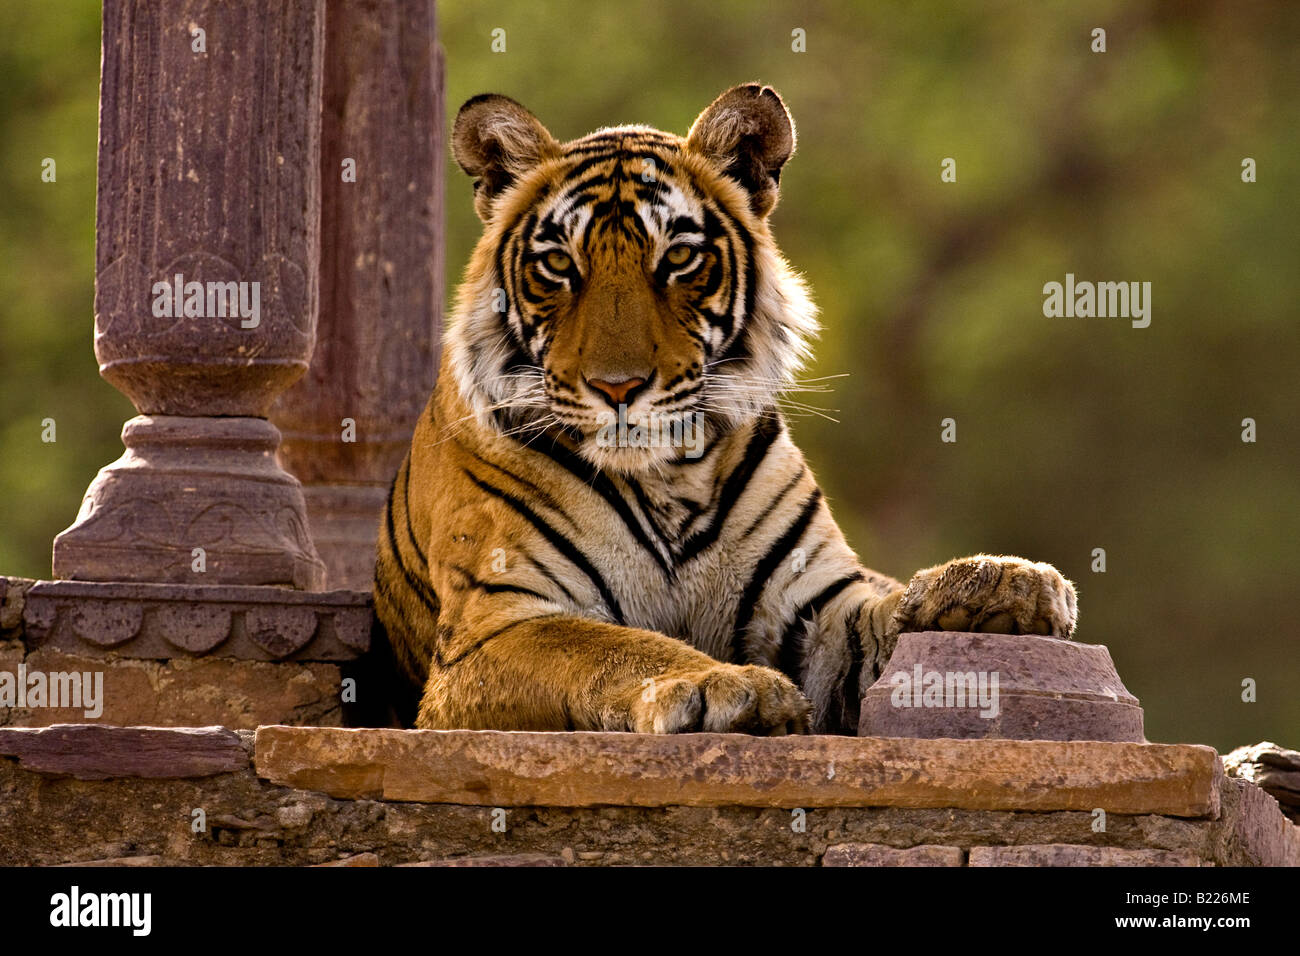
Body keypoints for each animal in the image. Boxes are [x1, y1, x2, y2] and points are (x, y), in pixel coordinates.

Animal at [373, 83, 1078, 735]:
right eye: (558, 264)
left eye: (679, 258)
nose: (618, 387)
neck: (668, 480)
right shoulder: (496, 626)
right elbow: (611, 646)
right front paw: (724, 685)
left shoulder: (812, 608)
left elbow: (882, 616)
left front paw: (1006, 583)